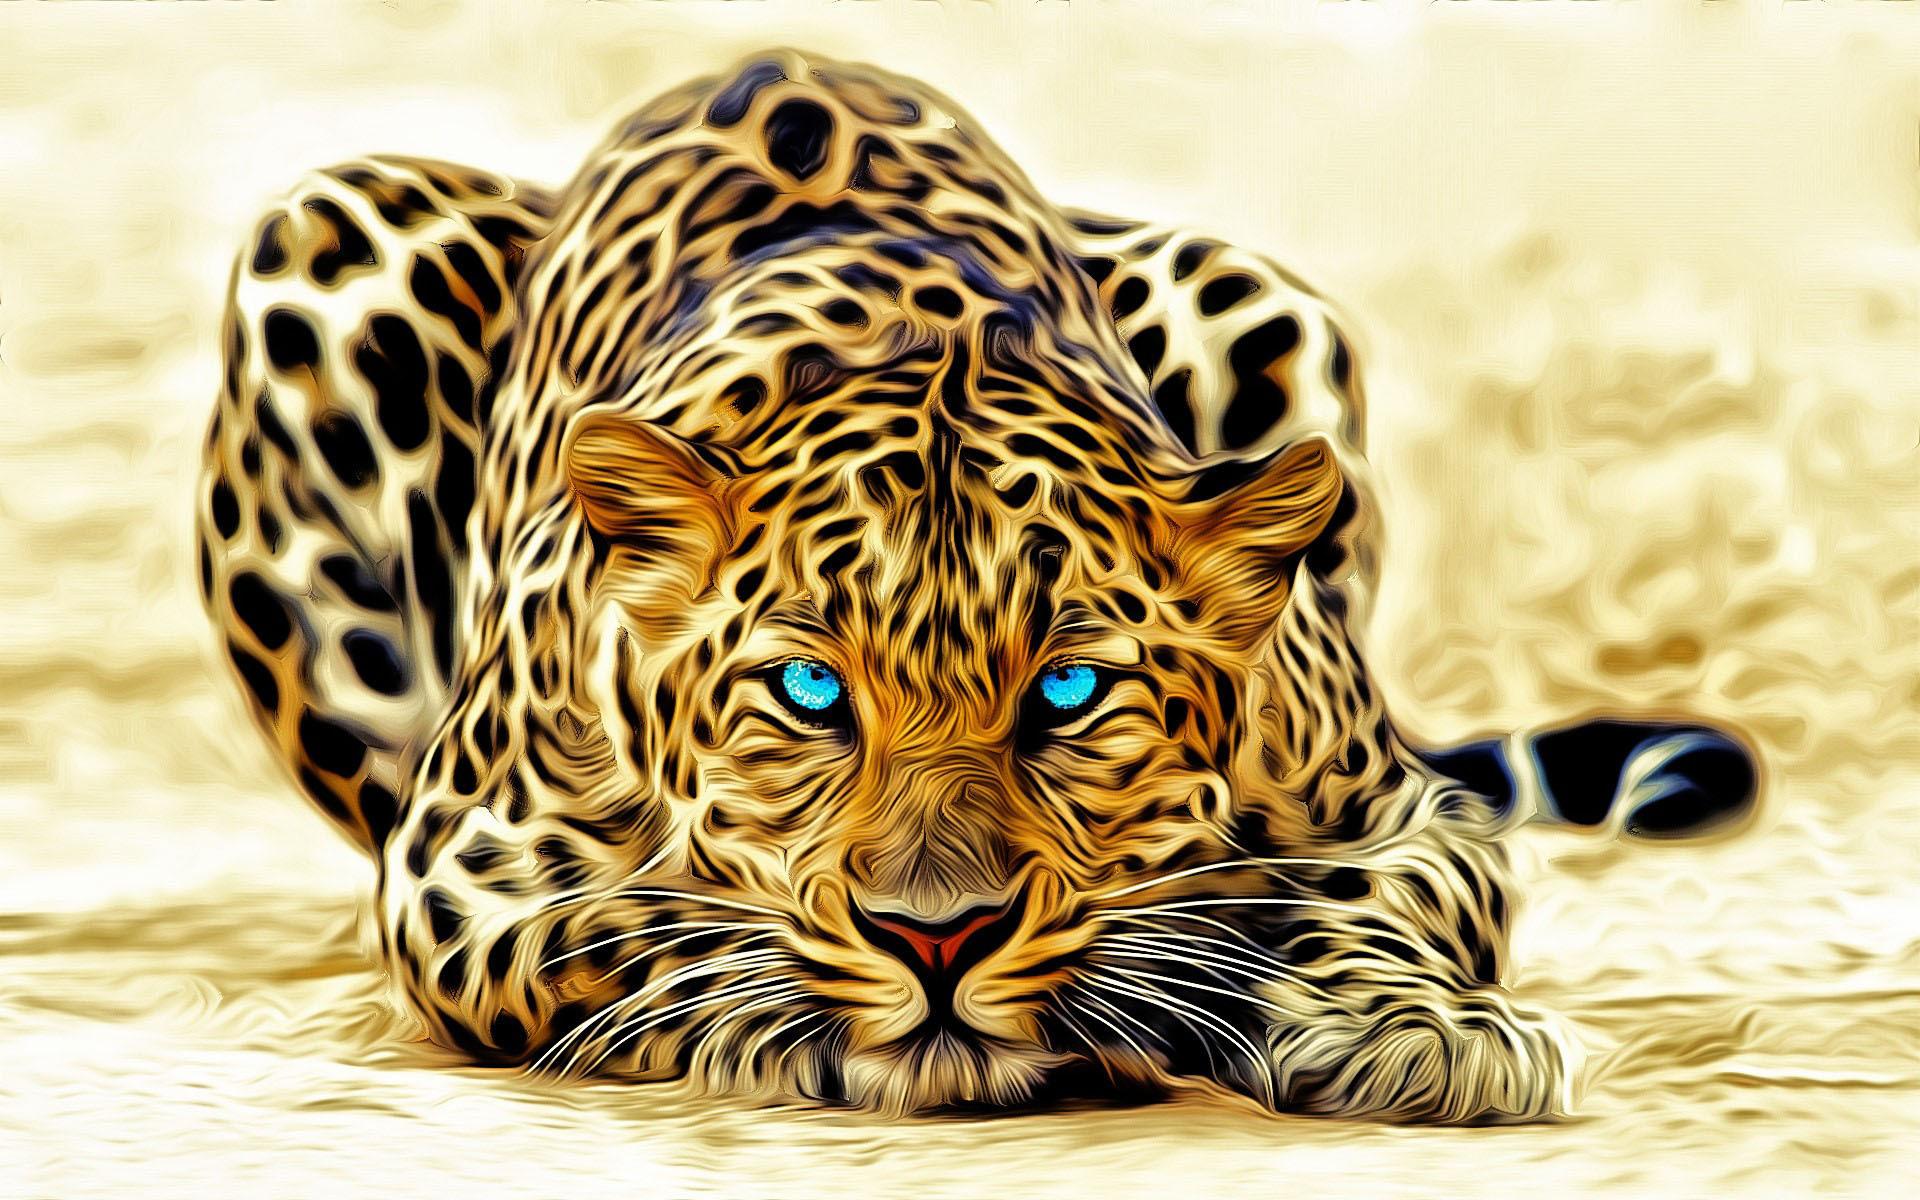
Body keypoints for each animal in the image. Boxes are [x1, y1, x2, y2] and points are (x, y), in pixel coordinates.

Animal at [196, 50, 1758, 1121]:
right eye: (808, 690)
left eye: (1068, 690)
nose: (936, 937)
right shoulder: (463, 860)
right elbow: (632, 929)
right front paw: (779, 1012)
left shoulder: (1399, 809)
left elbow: (1366, 898)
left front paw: (1413, 1028)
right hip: (322, 239)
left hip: (1257, 292)